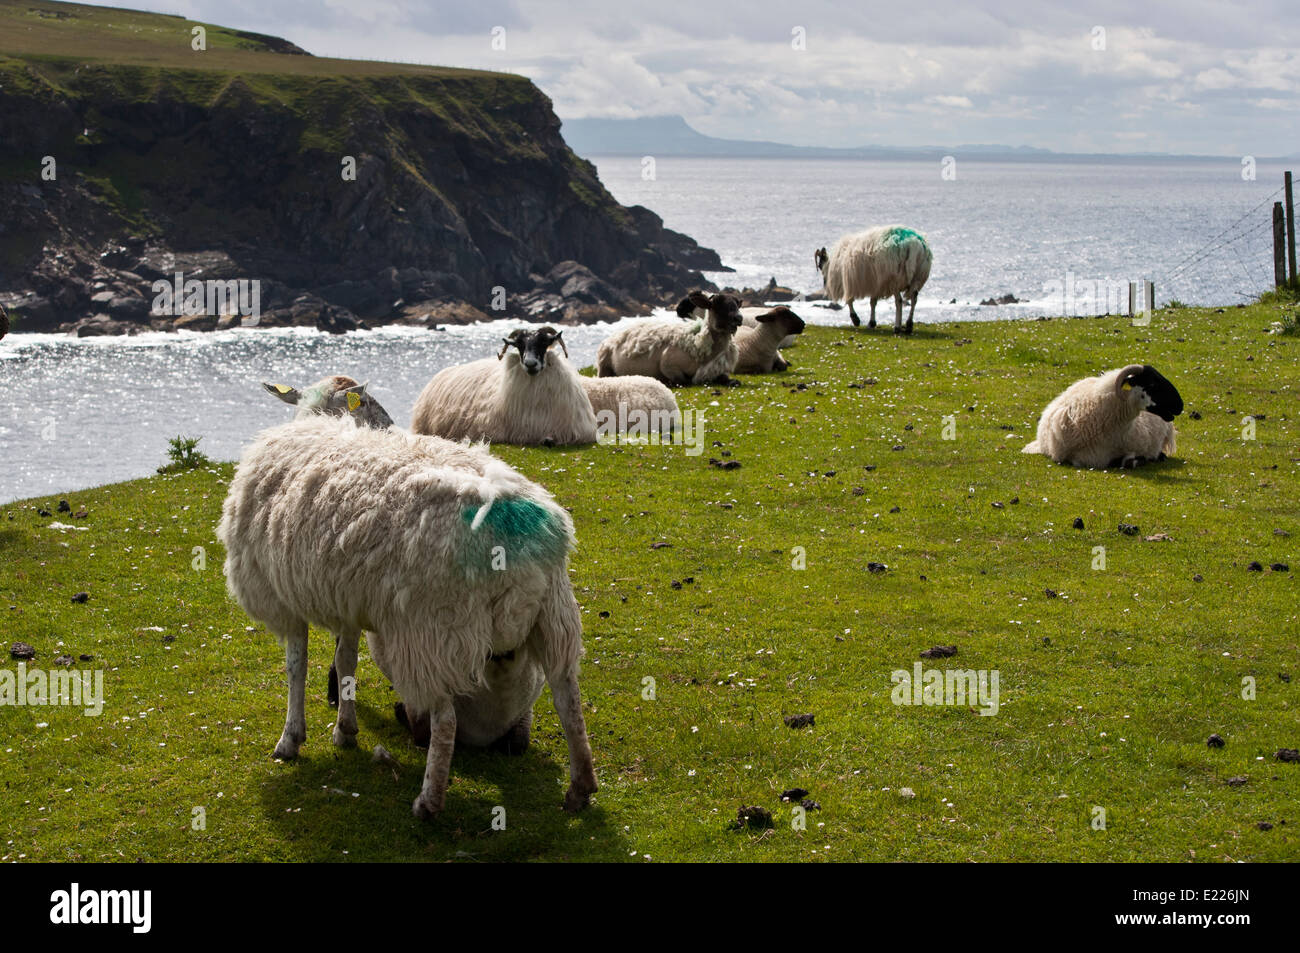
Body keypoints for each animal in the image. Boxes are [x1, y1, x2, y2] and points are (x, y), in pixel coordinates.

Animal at [216, 415, 598, 817]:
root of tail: (513, 534)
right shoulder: (349, 600)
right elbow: (346, 661)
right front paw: (345, 730)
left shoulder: (284, 600)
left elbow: (296, 668)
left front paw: (290, 739)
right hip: (553, 615)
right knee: (567, 699)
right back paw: (580, 788)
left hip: (436, 629)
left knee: (446, 719)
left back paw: (428, 801)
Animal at [595, 291, 743, 386]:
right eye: (717, 305)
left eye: (737, 304)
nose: (739, 318)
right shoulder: (668, 364)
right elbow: (684, 381)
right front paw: (667, 382)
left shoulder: (717, 371)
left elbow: (729, 380)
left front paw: (733, 382)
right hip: (604, 365)